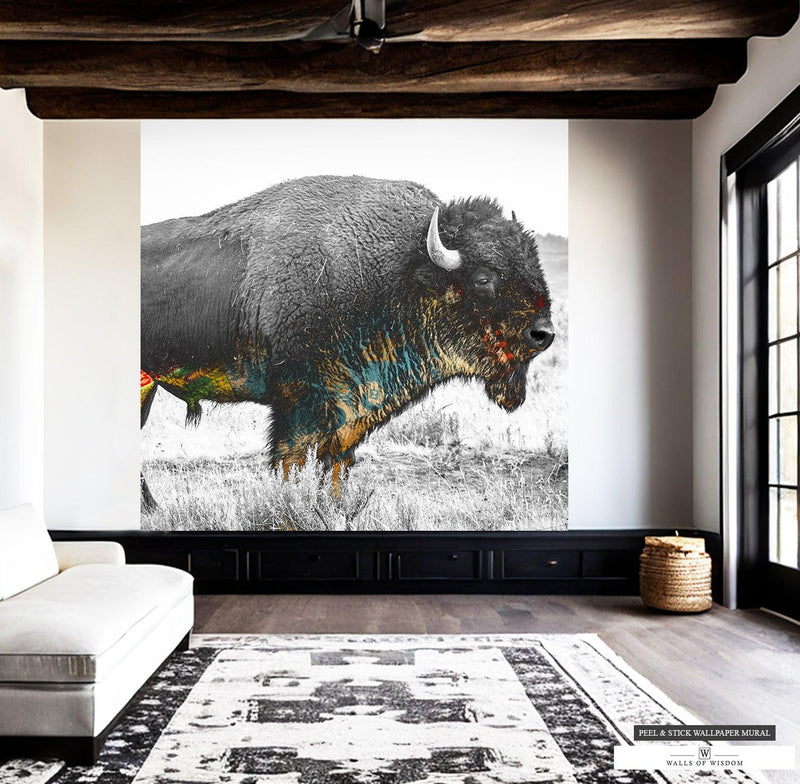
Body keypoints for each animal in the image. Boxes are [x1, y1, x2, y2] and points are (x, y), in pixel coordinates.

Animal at [140, 175, 555, 509]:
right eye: (484, 278)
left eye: (534, 266)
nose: (544, 334)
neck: (400, 269)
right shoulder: (298, 404)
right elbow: (290, 462)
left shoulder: (351, 414)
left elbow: (336, 468)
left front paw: (334, 509)